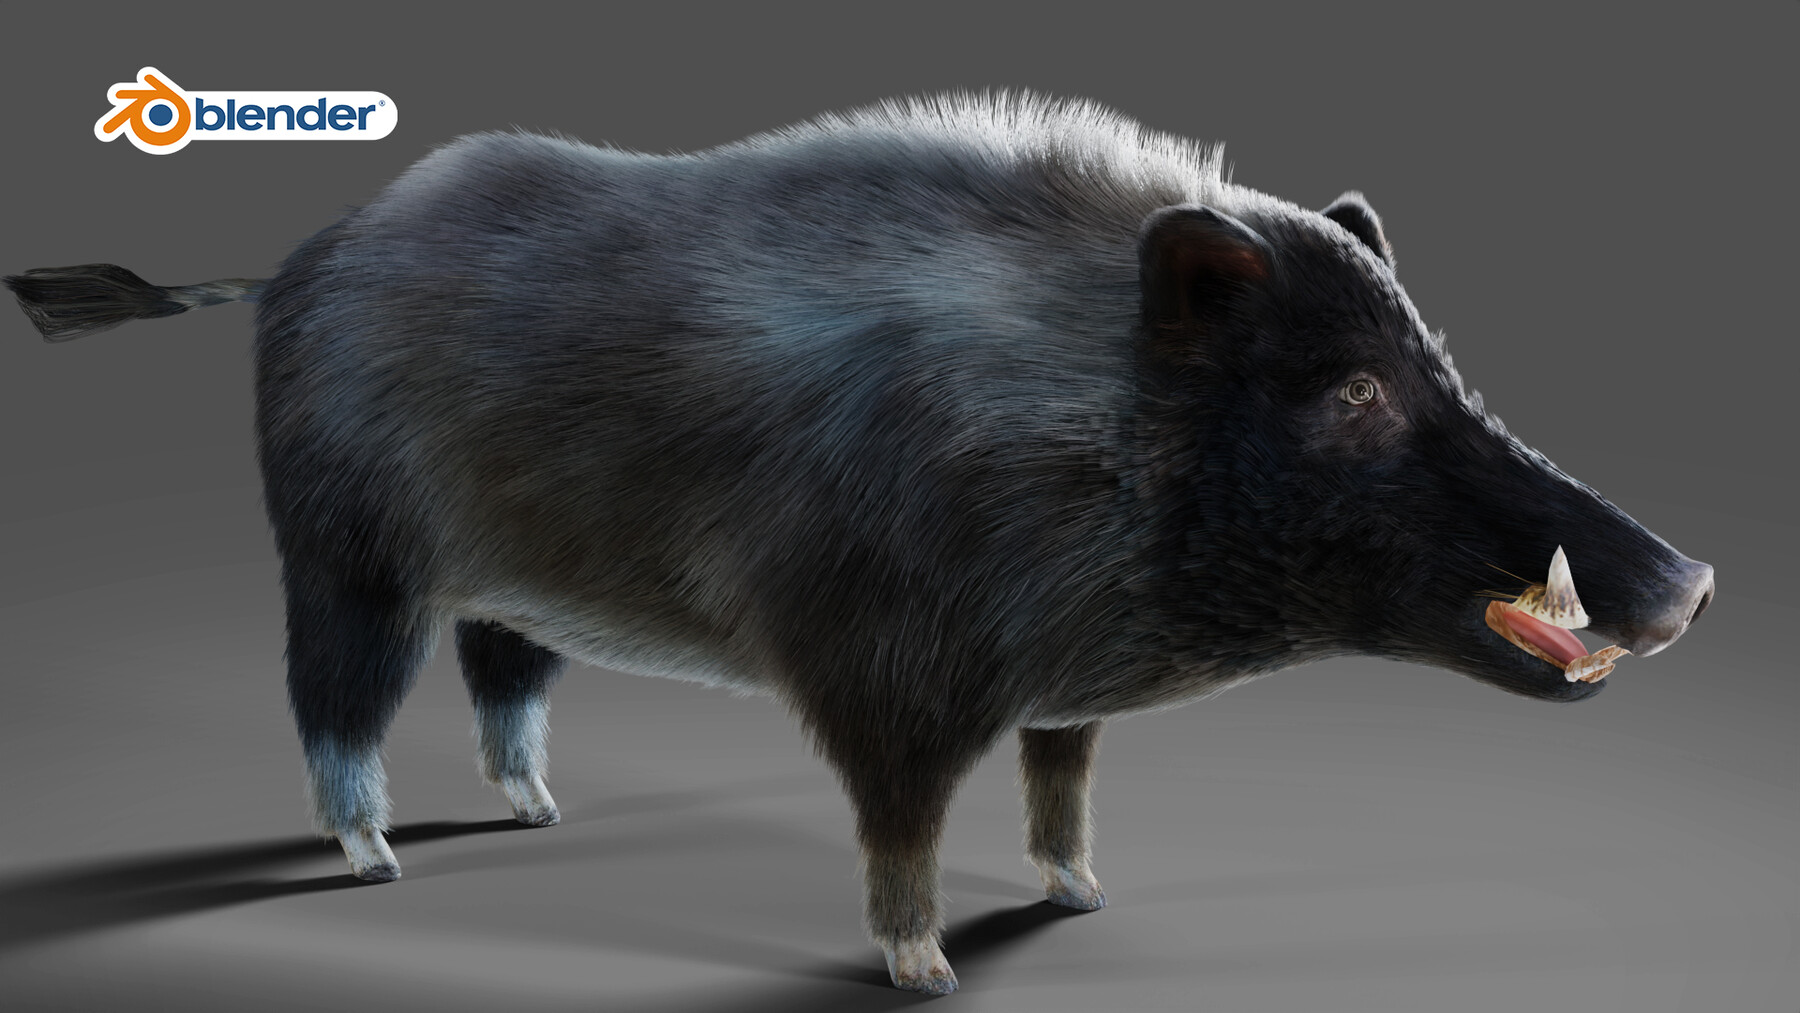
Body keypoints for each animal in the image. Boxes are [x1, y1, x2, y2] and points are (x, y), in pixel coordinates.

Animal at [5, 94, 1714, 994]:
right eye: (1352, 390)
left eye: (1434, 358)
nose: (1693, 580)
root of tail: (296, 258)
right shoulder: (879, 670)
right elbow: (901, 828)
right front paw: (928, 971)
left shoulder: (1057, 693)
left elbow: (1061, 786)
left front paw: (1083, 901)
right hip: (342, 550)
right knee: (333, 699)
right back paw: (369, 856)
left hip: (504, 581)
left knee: (503, 675)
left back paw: (540, 815)